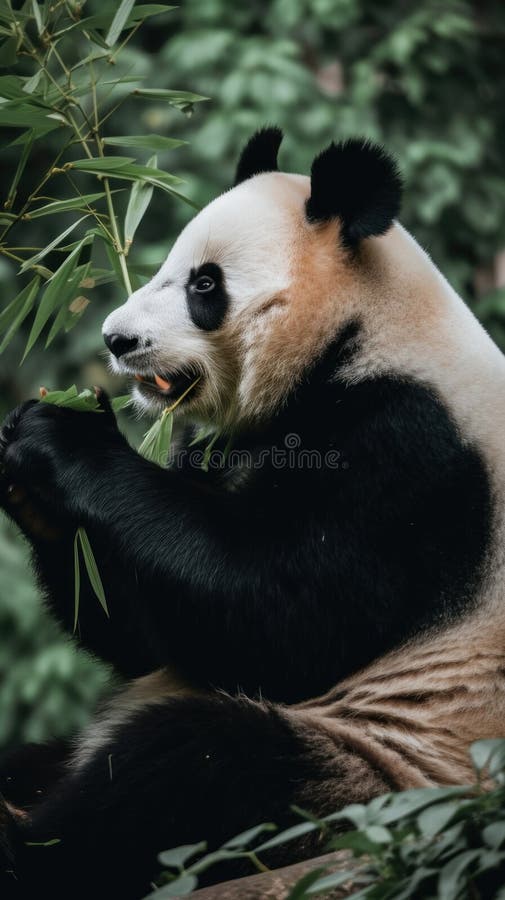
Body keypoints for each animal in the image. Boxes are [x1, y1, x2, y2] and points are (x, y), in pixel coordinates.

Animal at [1, 128, 505, 899]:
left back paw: (27, 849)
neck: (358, 333)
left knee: (193, 767)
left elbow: (281, 619)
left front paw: (63, 435)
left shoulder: (410, 442)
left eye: (205, 284)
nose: (118, 340)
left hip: (384, 775)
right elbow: (152, 626)